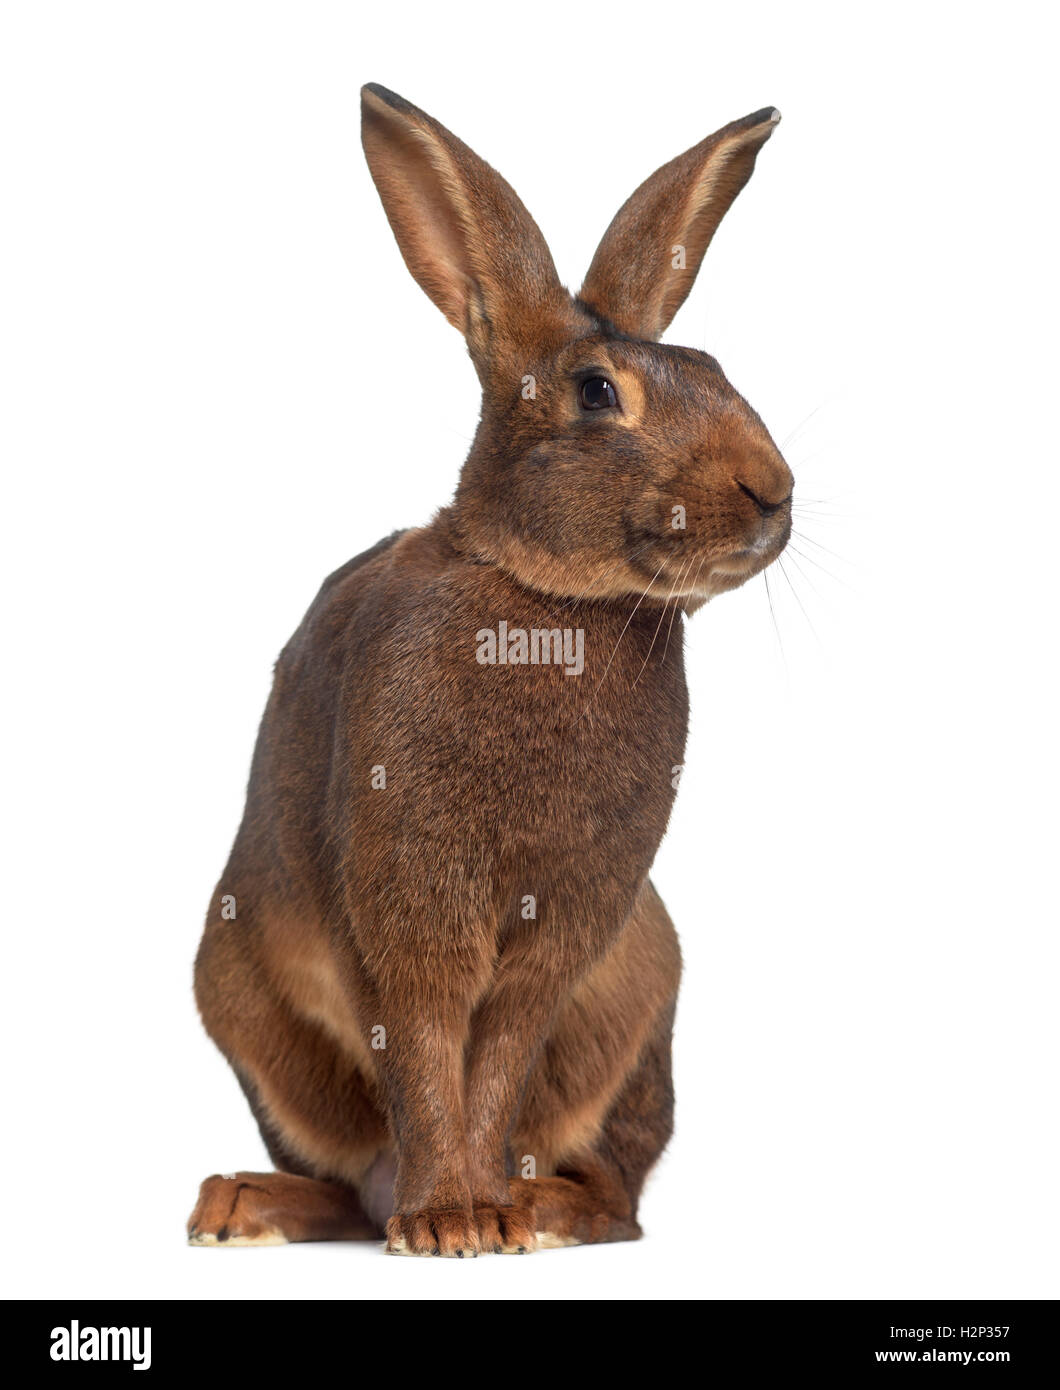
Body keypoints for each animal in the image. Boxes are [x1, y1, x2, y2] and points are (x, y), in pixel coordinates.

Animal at [188, 83, 793, 1256]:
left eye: (714, 371)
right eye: (598, 393)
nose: (772, 489)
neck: (551, 602)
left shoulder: (566, 931)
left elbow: (499, 1054)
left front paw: (481, 1218)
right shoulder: (404, 907)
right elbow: (426, 1043)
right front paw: (443, 1224)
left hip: (640, 991)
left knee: (618, 1192)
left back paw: (541, 1206)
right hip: (241, 998)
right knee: (339, 1172)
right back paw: (248, 1205)